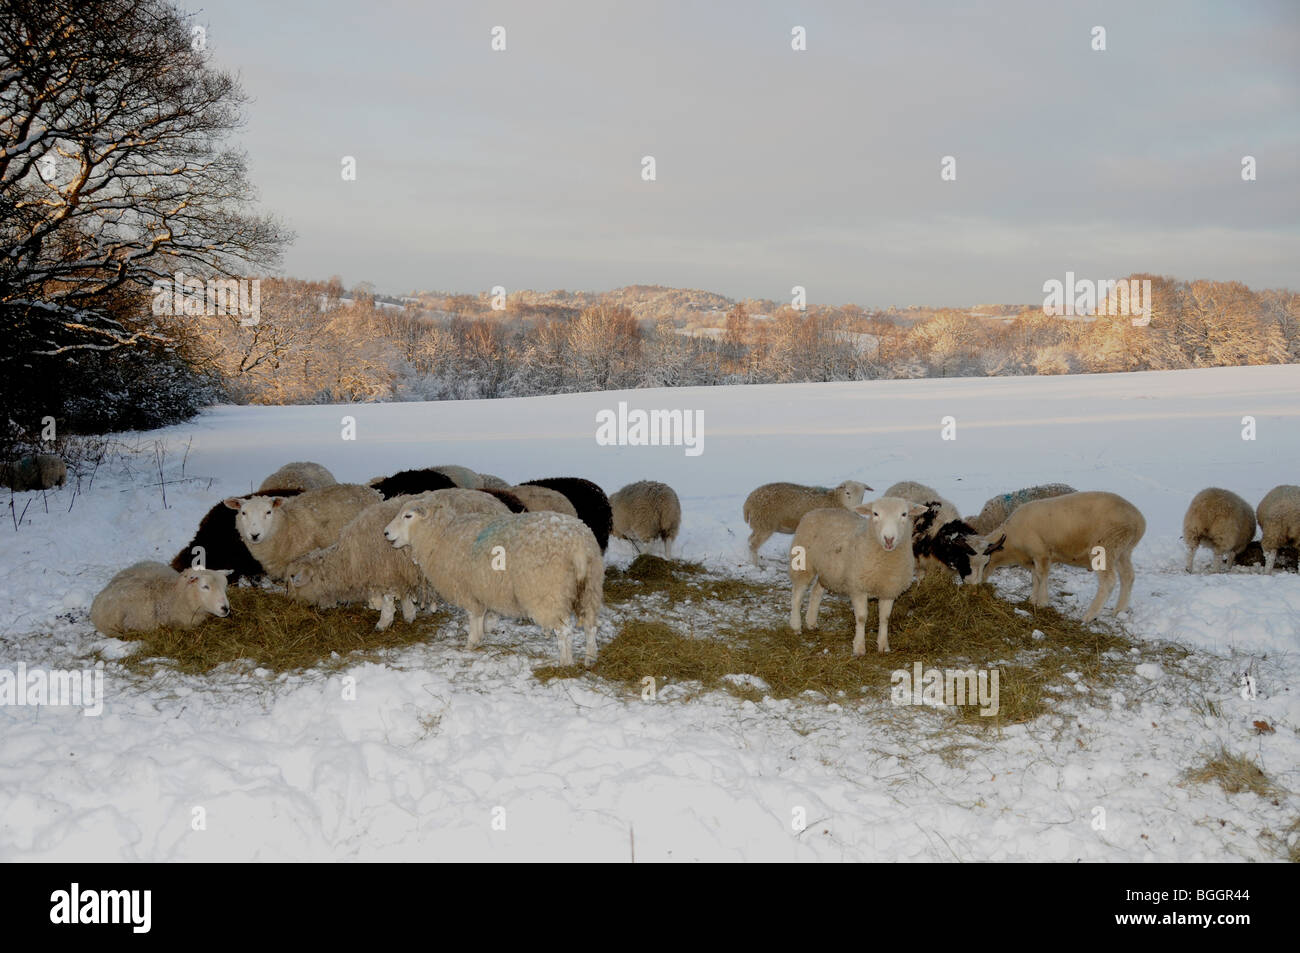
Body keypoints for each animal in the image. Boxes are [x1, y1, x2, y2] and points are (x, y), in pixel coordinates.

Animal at [384, 490, 604, 665]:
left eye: (408, 515)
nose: (385, 532)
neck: (440, 535)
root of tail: (580, 545)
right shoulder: (481, 588)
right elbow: (483, 615)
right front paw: (482, 635)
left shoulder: (468, 590)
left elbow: (474, 617)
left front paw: (470, 644)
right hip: (590, 588)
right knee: (590, 626)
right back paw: (590, 658)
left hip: (549, 593)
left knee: (565, 630)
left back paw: (565, 663)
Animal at [742, 480, 872, 565]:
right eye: (847, 493)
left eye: (862, 495)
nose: (856, 509)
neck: (835, 500)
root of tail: (748, 502)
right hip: (765, 524)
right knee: (753, 544)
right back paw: (756, 565)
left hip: (759, 525)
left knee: (749, 540)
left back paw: (750, 561)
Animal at [789, 497, 927, 654]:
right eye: (875, 513)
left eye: (904, 514)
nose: (889, 539)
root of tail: (814, 511)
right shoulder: (858, 588)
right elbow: (861, 618)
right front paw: (859, 647)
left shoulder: (888, 590)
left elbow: (885, 618)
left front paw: (883, 646)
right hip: (803, 563)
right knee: (797, 595)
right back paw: (796, 625)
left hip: (828, 571)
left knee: (816, 591)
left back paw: (811, 622)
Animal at [969, 491, 1146, 622]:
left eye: (985, 563)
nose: (973, 586)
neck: (1012, 539)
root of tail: (1138, 520)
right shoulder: (1033, 557)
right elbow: (1035, 577)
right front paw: (1032, 599)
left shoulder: (1041, 553)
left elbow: (1042, 575)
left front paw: (1042, 602)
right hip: (1123, 551)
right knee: (1128, 577)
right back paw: (1119, 611)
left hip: (1106, 547)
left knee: (1108, 581)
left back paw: (1089, 616)